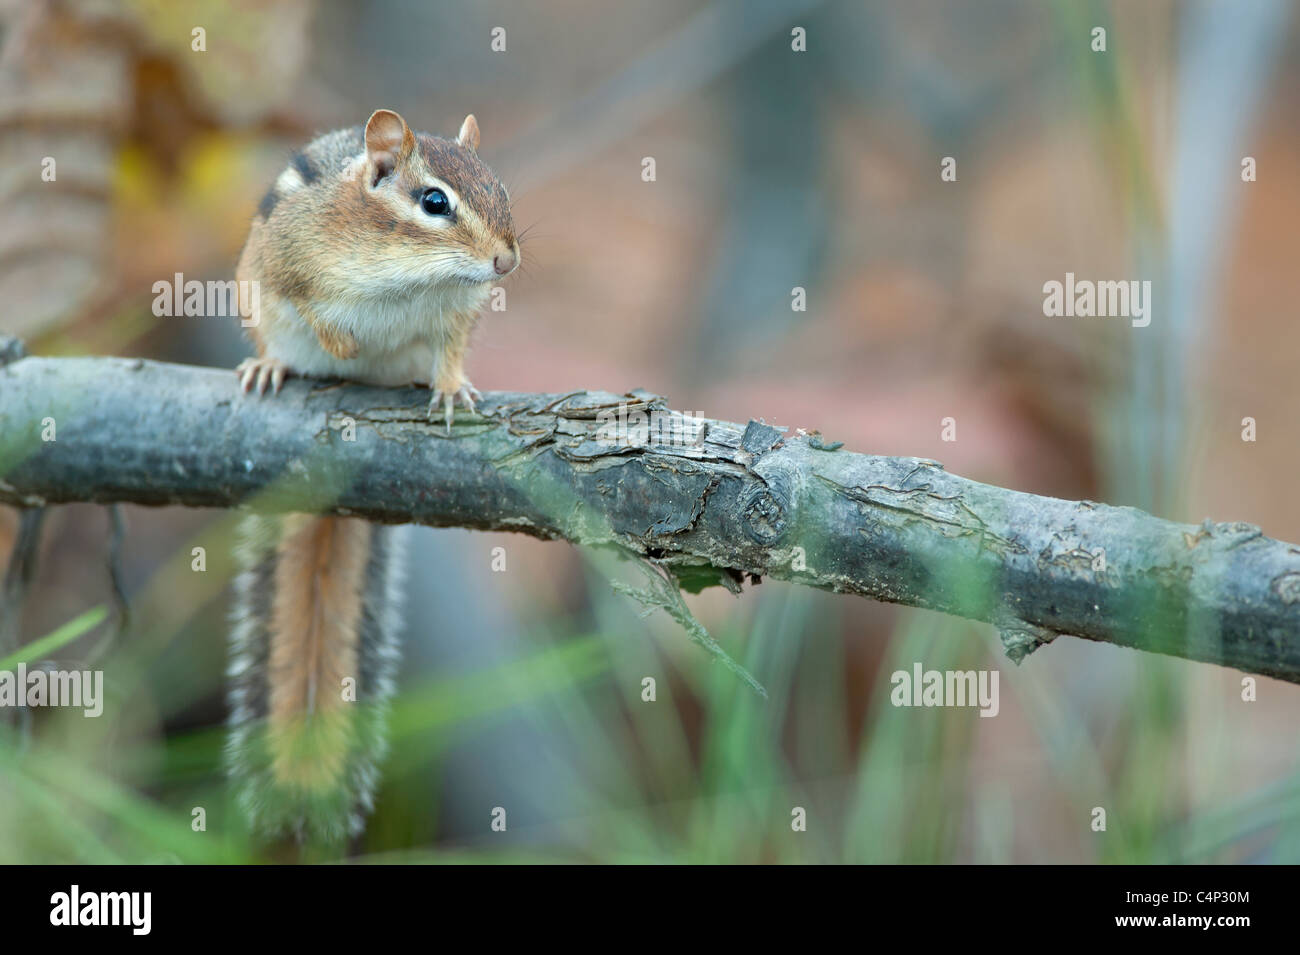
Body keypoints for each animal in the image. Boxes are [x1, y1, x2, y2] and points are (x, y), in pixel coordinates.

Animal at [225, 109, 519, 843]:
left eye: (501, 187)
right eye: (434, 202)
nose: (507, 261)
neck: (406, 271)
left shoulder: (454, 314)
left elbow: (450, 349)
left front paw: (452, 387)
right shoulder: (290, 266)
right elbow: (312, 309)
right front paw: (343, 343)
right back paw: (271, 365)